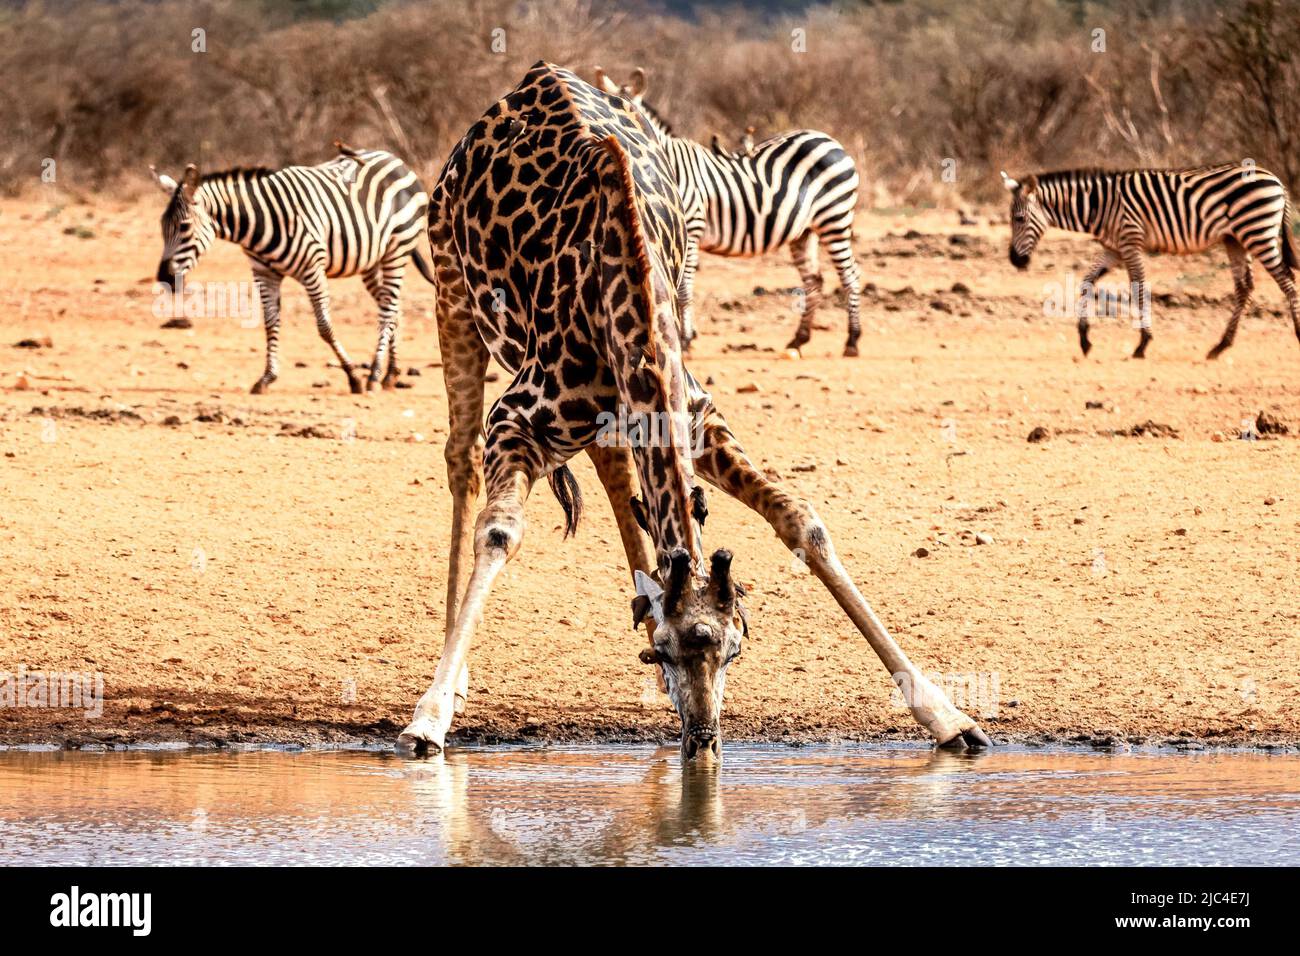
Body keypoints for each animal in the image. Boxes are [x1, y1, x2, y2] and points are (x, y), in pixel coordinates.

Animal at [398, 62, 990, 760]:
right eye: (663, 652)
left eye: (735, 649)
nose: (703, 738)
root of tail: (527, 81)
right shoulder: (515, 422)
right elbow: (499, 531)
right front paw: (430, 716)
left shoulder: (697, 417)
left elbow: (802, 521)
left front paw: (947, 715)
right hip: (451, 290)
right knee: (459, 457)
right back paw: (456, 675)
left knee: (612, 470)